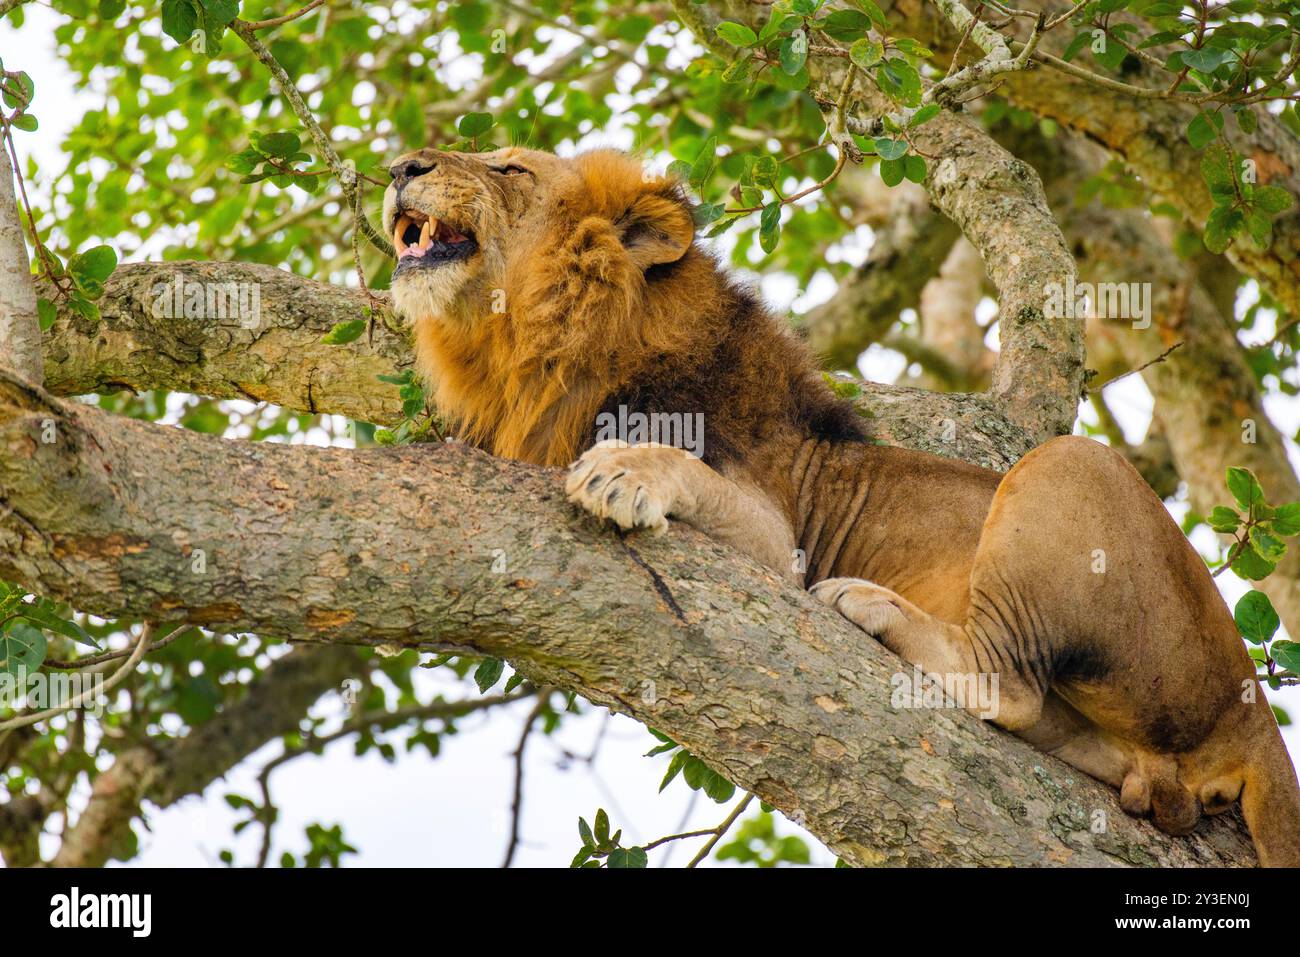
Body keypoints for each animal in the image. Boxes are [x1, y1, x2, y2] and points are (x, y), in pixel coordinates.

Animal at [383, 145, 1300, 866]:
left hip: (1071, 467)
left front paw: (623, 473)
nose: (400, 168)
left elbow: (680, 471)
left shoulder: (772, 535)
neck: (544, 355)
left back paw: (869, 603)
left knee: (1009, 683)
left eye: (511, 169)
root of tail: (1258, 716)